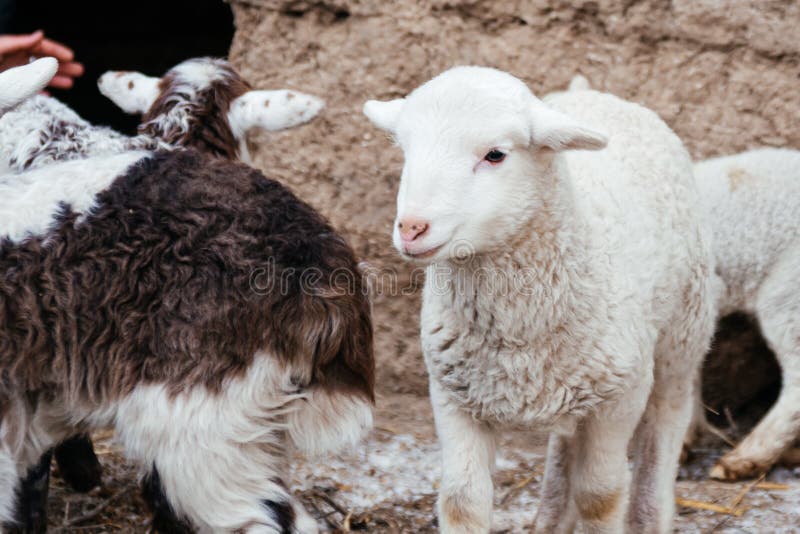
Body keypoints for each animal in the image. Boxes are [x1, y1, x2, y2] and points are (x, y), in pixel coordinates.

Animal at [363, 66, 716, 533]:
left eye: (495, 155)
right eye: (405, 149)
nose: (412, 228)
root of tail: (600, 96)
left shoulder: (622, 395)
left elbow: (600, 495)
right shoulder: (453, 392)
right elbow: (462, 501)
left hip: (682, 334)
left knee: (666, 421)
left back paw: (650, 513)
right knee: (565, 446)